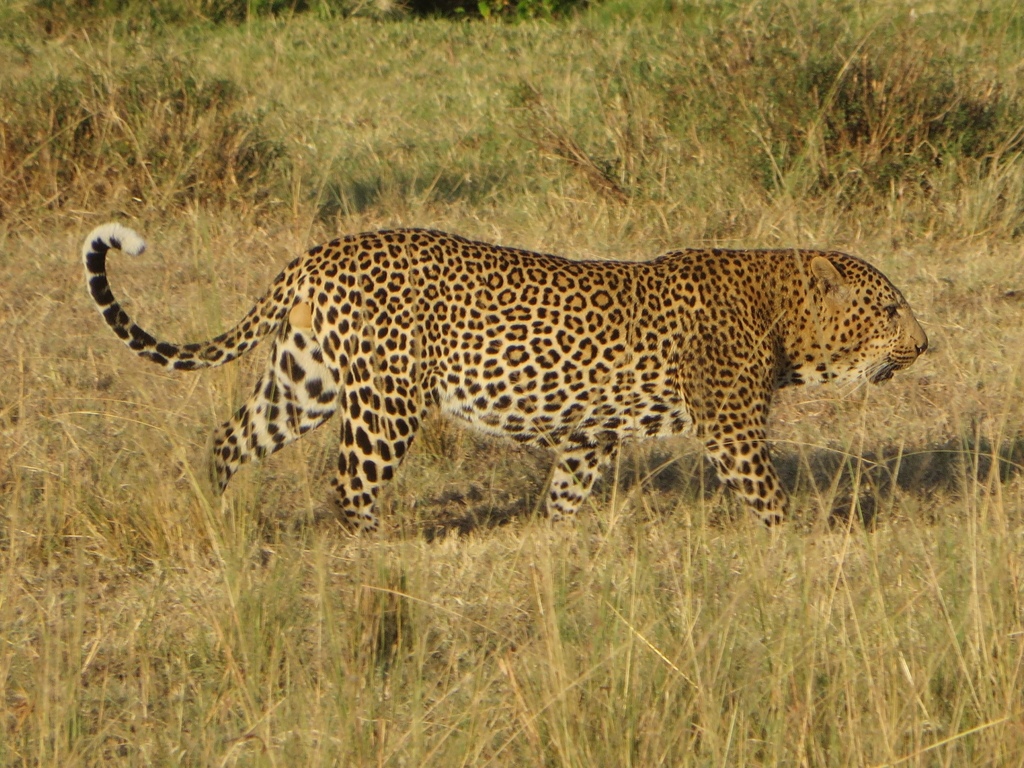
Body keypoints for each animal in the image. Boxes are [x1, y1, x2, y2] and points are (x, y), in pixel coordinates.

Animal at [82, 223, 927, 531]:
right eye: (889, 307)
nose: (926, 345)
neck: (783, 315)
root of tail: (318, 253)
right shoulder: (732, 425)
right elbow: (771, 499)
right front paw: (810, 551)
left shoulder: (590, 435)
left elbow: (565, 495)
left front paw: (555, 548)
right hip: (385, 403)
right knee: (350, 486)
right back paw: (379, 556)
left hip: (306, 383)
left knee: (231, 437)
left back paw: (218, 521)